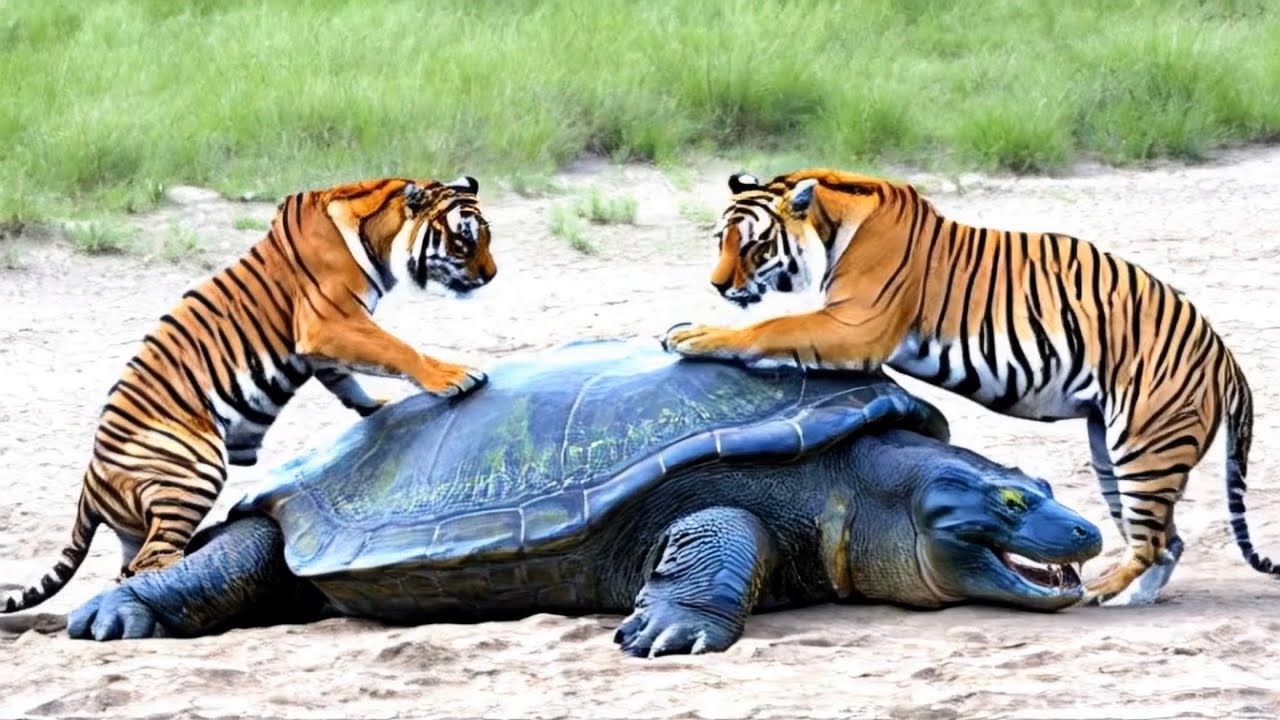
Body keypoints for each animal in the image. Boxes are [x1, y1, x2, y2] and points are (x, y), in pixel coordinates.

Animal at [2, 175, 497, 613]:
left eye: (487, 238)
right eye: (463, 241)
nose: (491, 276)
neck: (377, 230)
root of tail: (90, 481)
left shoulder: (323, 347)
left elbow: (348, 381)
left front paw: (375, 406)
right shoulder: (331, 322)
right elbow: (397, 349)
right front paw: (454, 376)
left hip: (141, 521)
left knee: (130, 567)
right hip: (195, 468)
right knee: (153, 561)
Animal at [662, 168, 1275, 606]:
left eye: (754, 246)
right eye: (720, 241)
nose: (717, 286)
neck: (833, 224)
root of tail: (1223, 353)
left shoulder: (851, 327)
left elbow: (770, 328)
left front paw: (694, 333)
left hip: (1143, 448)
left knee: (1150, 540)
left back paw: (1102, 591)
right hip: (1110, 450)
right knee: (1168, 540)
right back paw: (1134, 600)